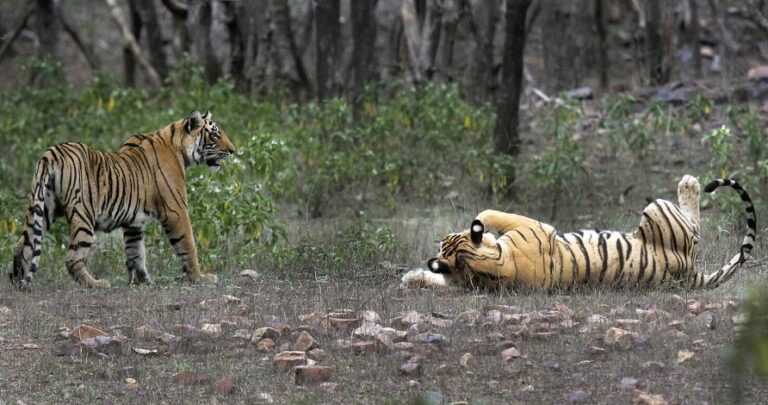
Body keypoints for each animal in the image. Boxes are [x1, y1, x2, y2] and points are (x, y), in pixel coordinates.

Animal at [10, 110, 235, 290]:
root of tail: (51, 153)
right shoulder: (176, 210)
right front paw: (200, 278)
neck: (179, 147)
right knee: (72, 257)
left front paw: (143, 281)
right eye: (215, 134)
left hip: (44, 208)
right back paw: (96, 283)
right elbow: (188, 245)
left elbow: (136, 252)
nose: (233, 150)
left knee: (23, 244)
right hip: (83, 214)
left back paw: (17, 281)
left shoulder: (133, 222)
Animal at [402, 175, 756, 290]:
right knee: (695, 228)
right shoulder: (533, 226)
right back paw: (690, 183)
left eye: (445, 240)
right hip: (657, 209)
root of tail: (691, 272)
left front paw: (411, 277)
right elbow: (489, 214)